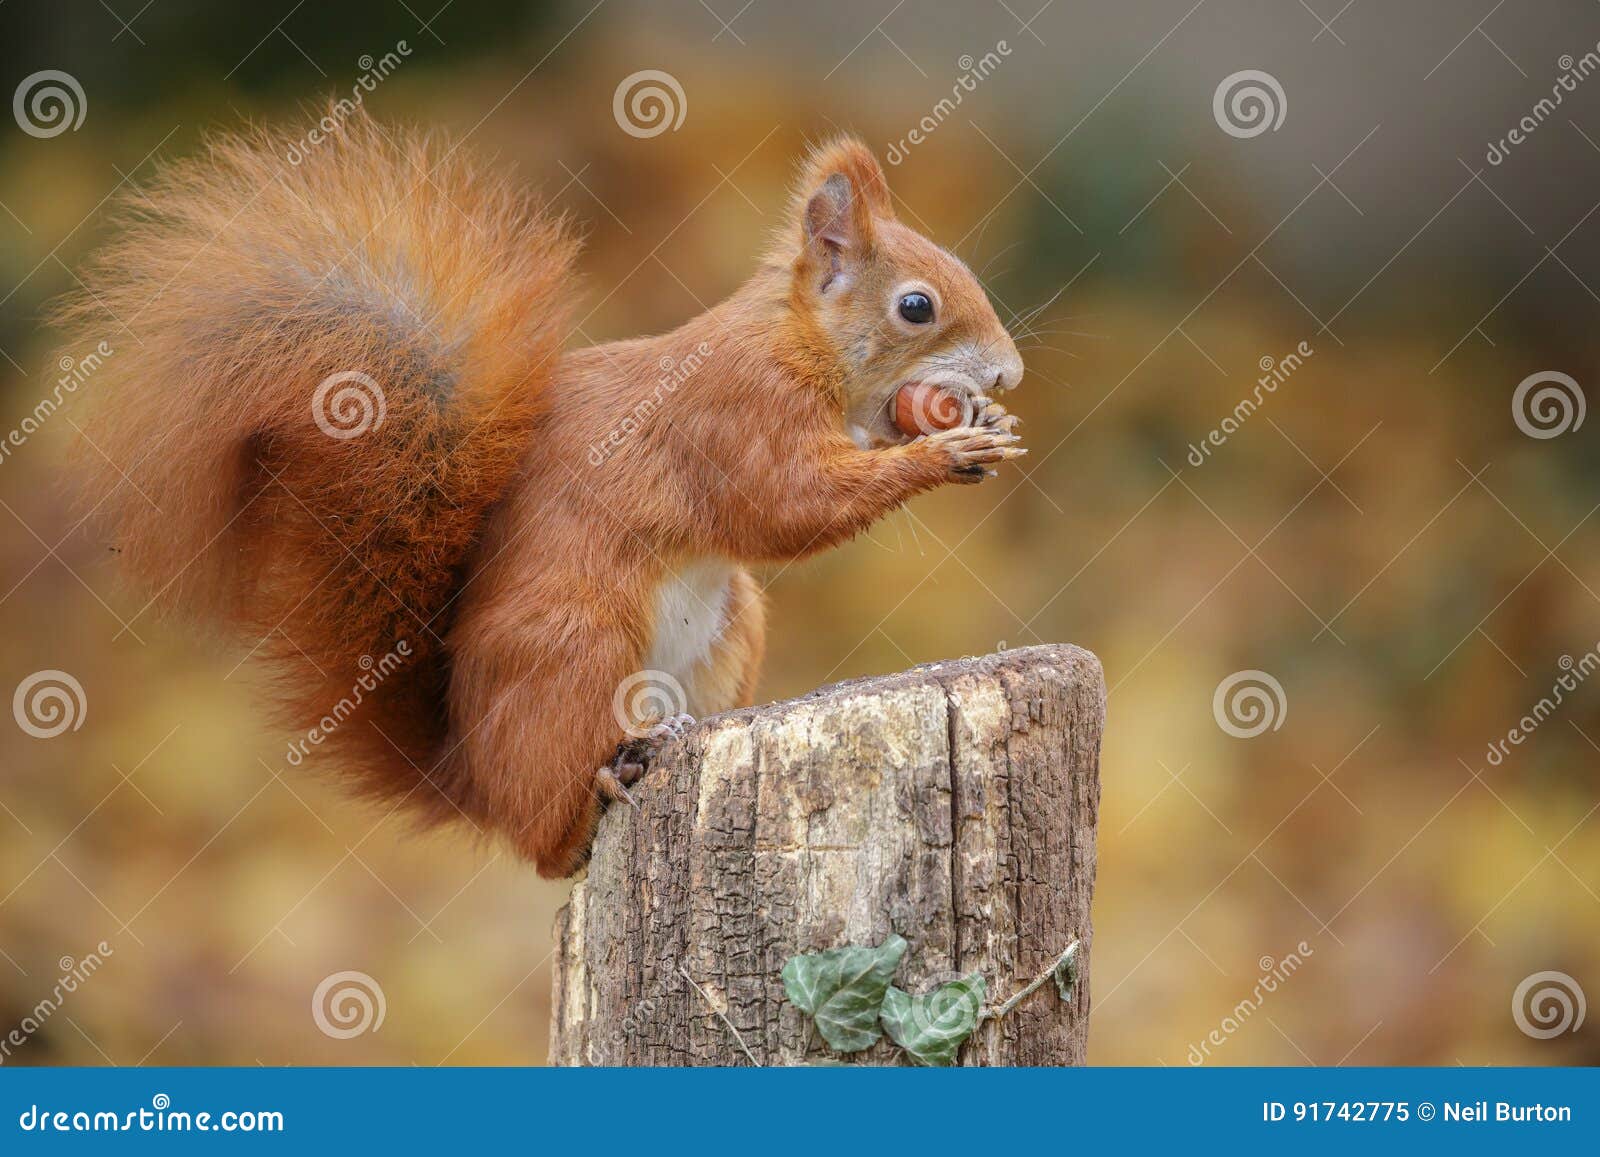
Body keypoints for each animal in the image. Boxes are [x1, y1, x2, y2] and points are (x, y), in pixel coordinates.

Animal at [61, 115, 1026, 878]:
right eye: (915, 306)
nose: (1010, 372)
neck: (796, 344)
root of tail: (471, 774)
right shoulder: (732, 417)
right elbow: (788, 506)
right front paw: (944, 449)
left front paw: (975, 425)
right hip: (575, 646)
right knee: (544, 839)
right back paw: (591, 793)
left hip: (728, 630)